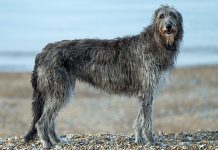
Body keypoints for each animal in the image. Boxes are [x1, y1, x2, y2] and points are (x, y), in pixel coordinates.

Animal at [24, 5, 183, 148]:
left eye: (173, 15)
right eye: (161, 16)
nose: (168, 26)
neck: (156, 42)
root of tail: (43, 51)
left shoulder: (144, 92)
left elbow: (140, 118)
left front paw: (139, 139)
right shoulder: (147, 89)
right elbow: (147, 120)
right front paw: (150, 140)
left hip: (61, 90)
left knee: (50, 120)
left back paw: (56, 140)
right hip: (59, 89)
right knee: (41, 122)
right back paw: (47, 143)